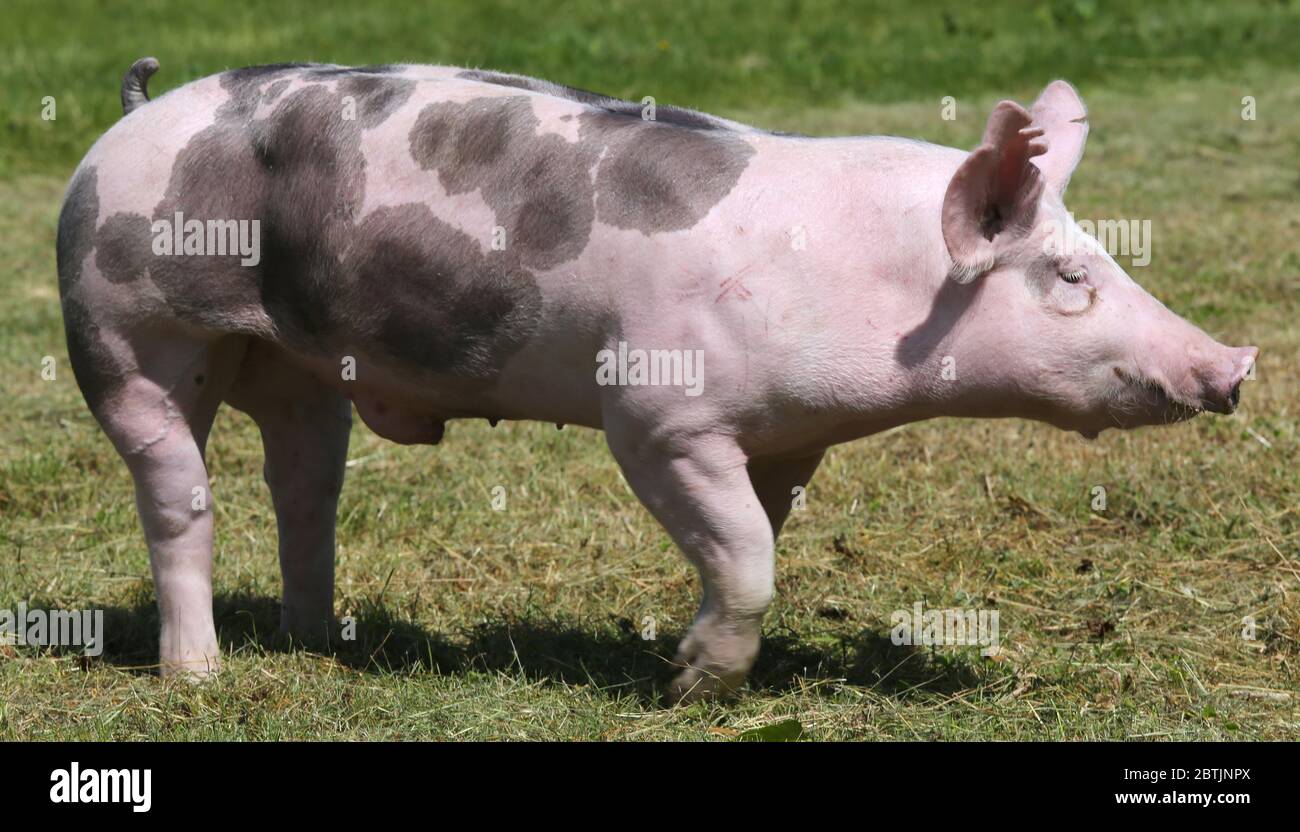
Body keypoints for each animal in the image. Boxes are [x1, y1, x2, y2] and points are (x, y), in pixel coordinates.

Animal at [57, 58, 1257, 702]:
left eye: (1104, 254)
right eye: (1070, 277)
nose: (1234, 367)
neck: (873, 282)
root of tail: (123, 122)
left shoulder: (785, 436)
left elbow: (752, 542)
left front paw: (698, 668)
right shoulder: (656, 411)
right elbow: (748, 556)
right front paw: (688, 686)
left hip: (298, 364)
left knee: (303, 484)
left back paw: (317, 640)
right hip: (122, 329)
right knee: (177, 494)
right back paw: (197, 675)